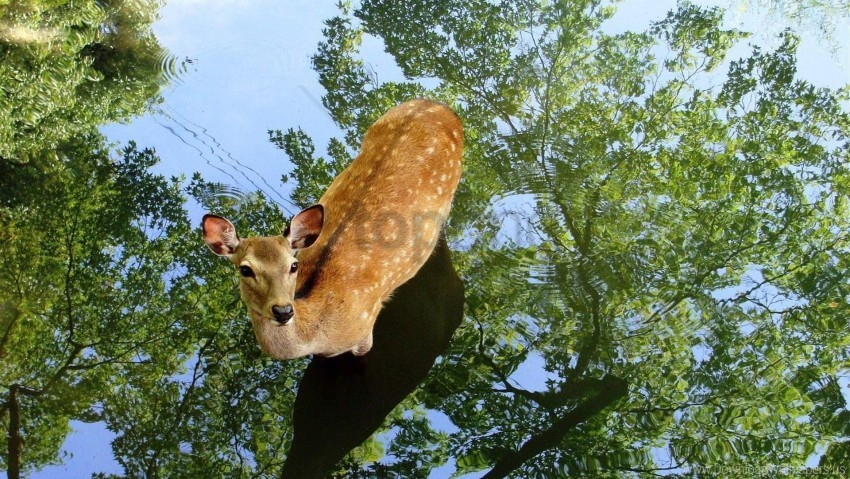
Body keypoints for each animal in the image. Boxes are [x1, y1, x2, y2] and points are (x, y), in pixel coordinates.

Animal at [202, 99, 463, 359]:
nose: (283, 311)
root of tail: (439, 105)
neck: (319, 334)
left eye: (293, 265)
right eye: (245, 269)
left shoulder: (363, 333)